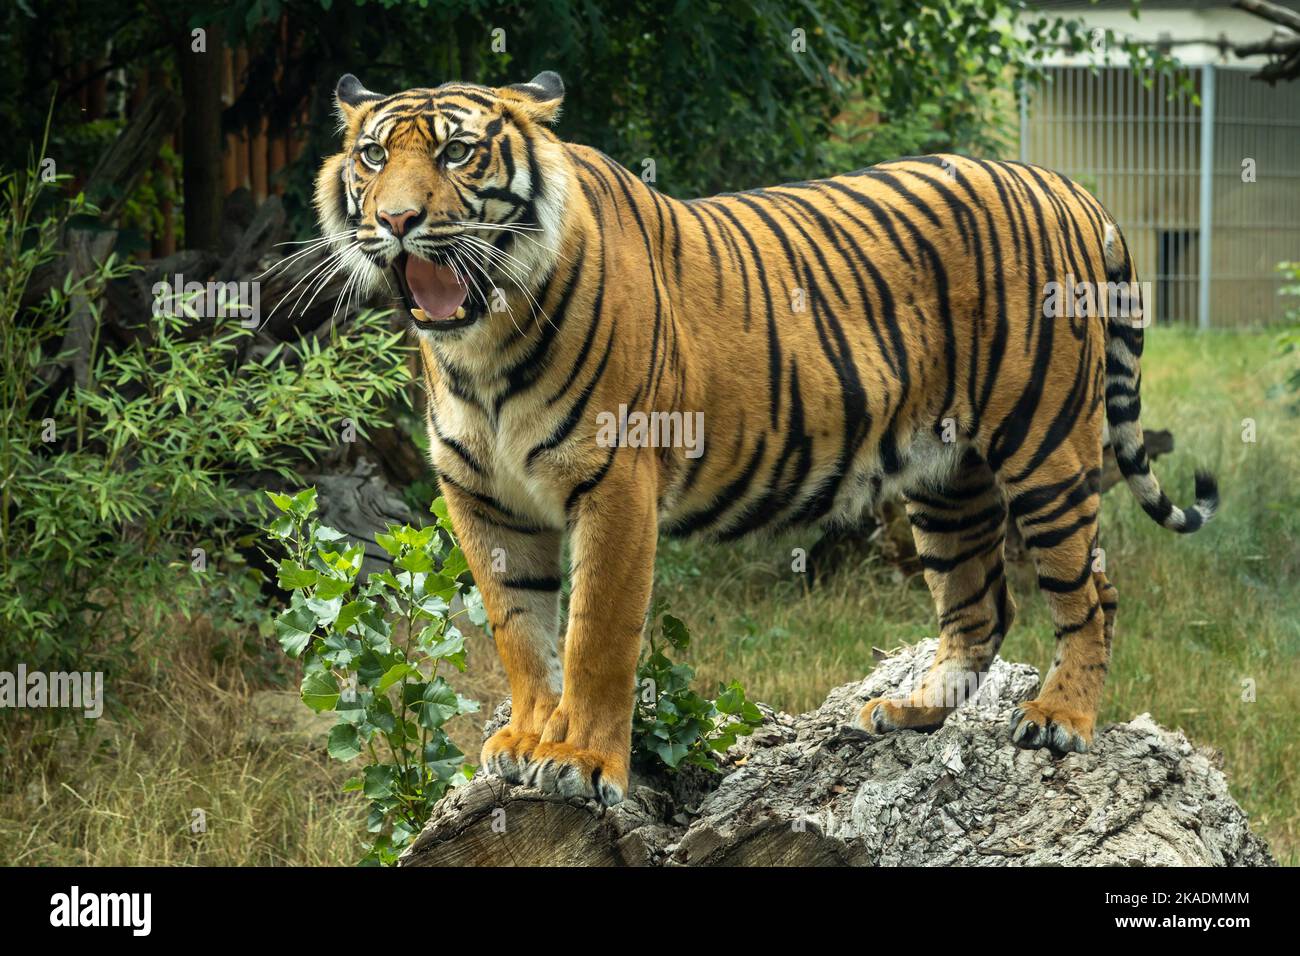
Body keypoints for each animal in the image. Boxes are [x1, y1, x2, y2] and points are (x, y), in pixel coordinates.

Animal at [314, 70, 1219, 806]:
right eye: (372, 157)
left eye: (459, 152)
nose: (397, 219)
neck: (481, 348)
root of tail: (1069, 185)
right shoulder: (482, 497)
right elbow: (519, 632)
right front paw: (526, 740)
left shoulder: (615, 483)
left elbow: (595, 636)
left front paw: (580, 762)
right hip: (947, 477)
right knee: (981, 604)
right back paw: (909, 710)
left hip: (1046, 446)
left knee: (1091, 594)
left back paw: (1060, 719)